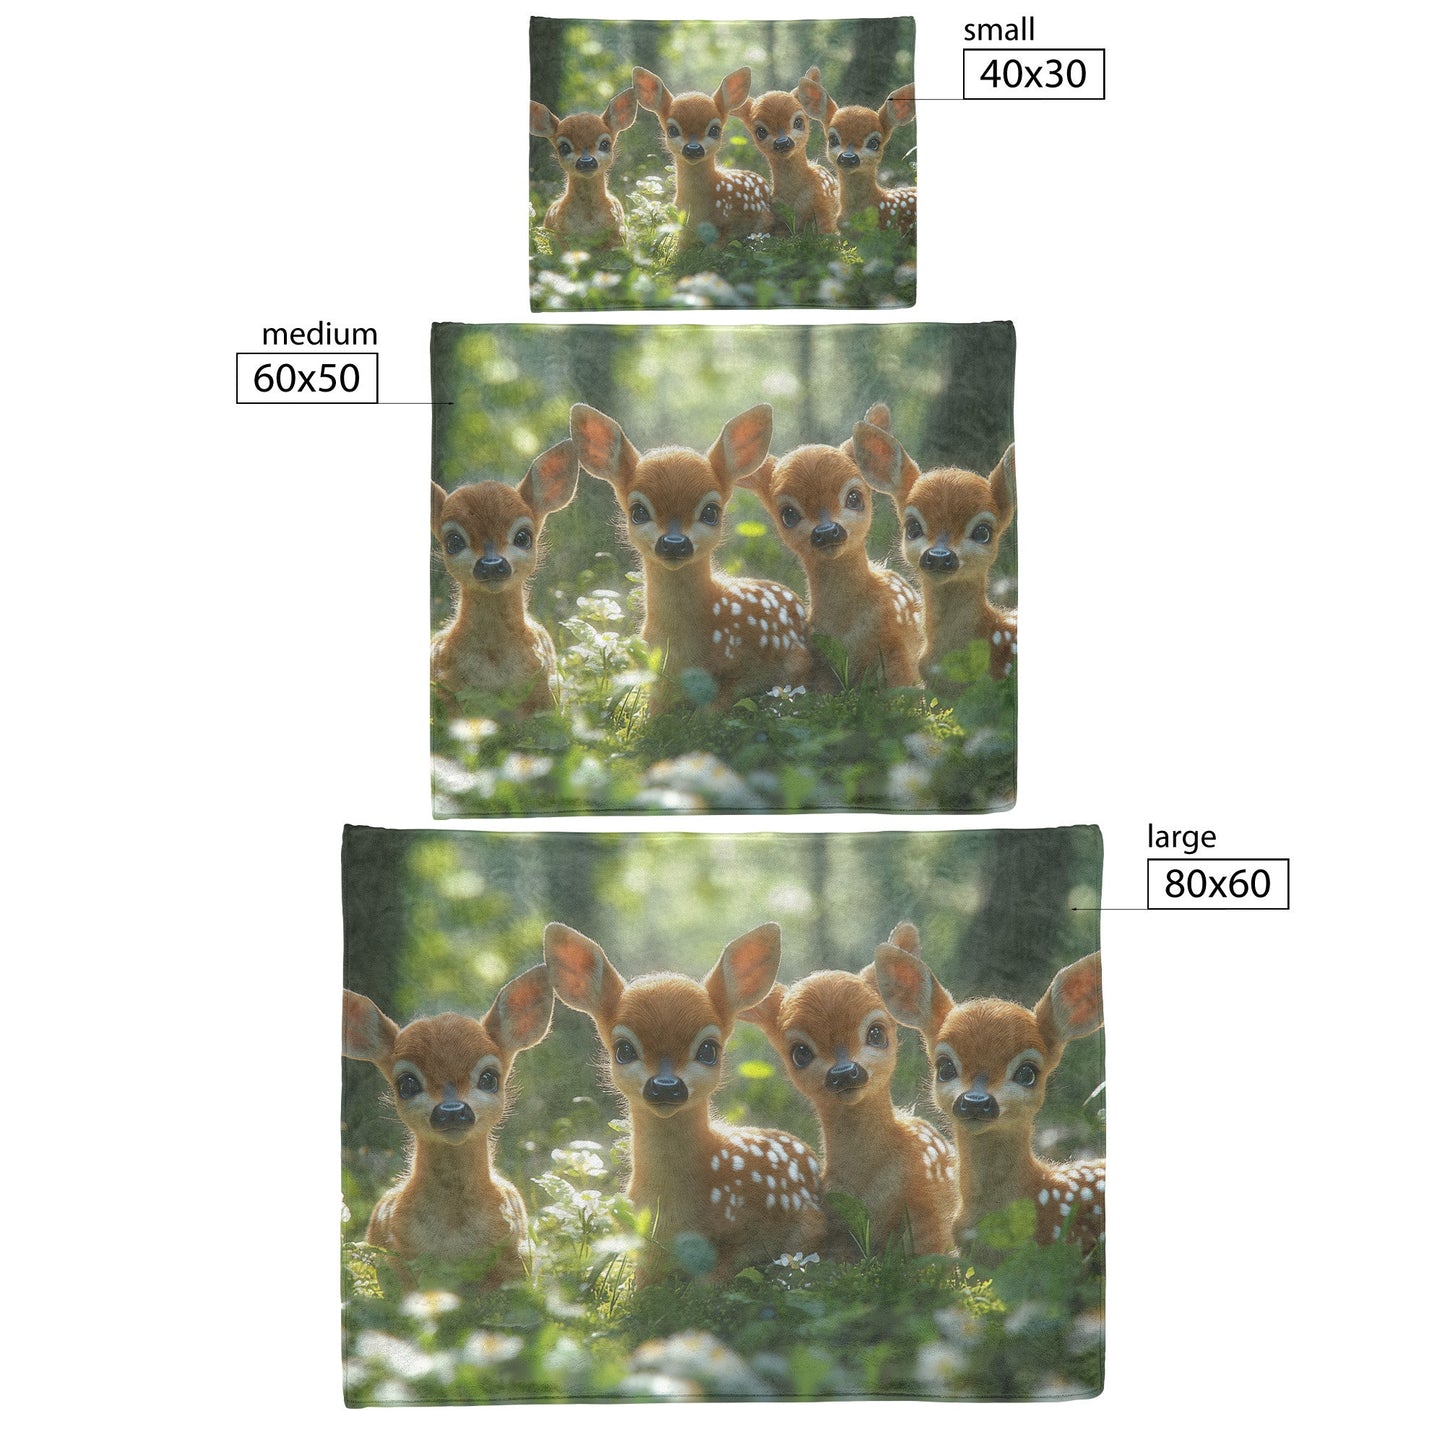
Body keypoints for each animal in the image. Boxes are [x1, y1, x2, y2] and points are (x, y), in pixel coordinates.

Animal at [342, 965, 555, 1290]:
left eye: (489, 1078)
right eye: (407, 1083)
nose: (452, 1111)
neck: (454, 1232)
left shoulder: (516, 1256)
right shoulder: (401, 1259)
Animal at [569, 401, 815, 711]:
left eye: (710, 511)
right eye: (638, 511)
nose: (674, 543)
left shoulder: (737, 671)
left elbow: (714, 708)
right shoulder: (656, 673)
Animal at [738, 404, 922, 687]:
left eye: (854, 497)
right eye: (788, 514)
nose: (826, 531)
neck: (847, 626)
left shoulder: (897, 646)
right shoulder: (821, 660)